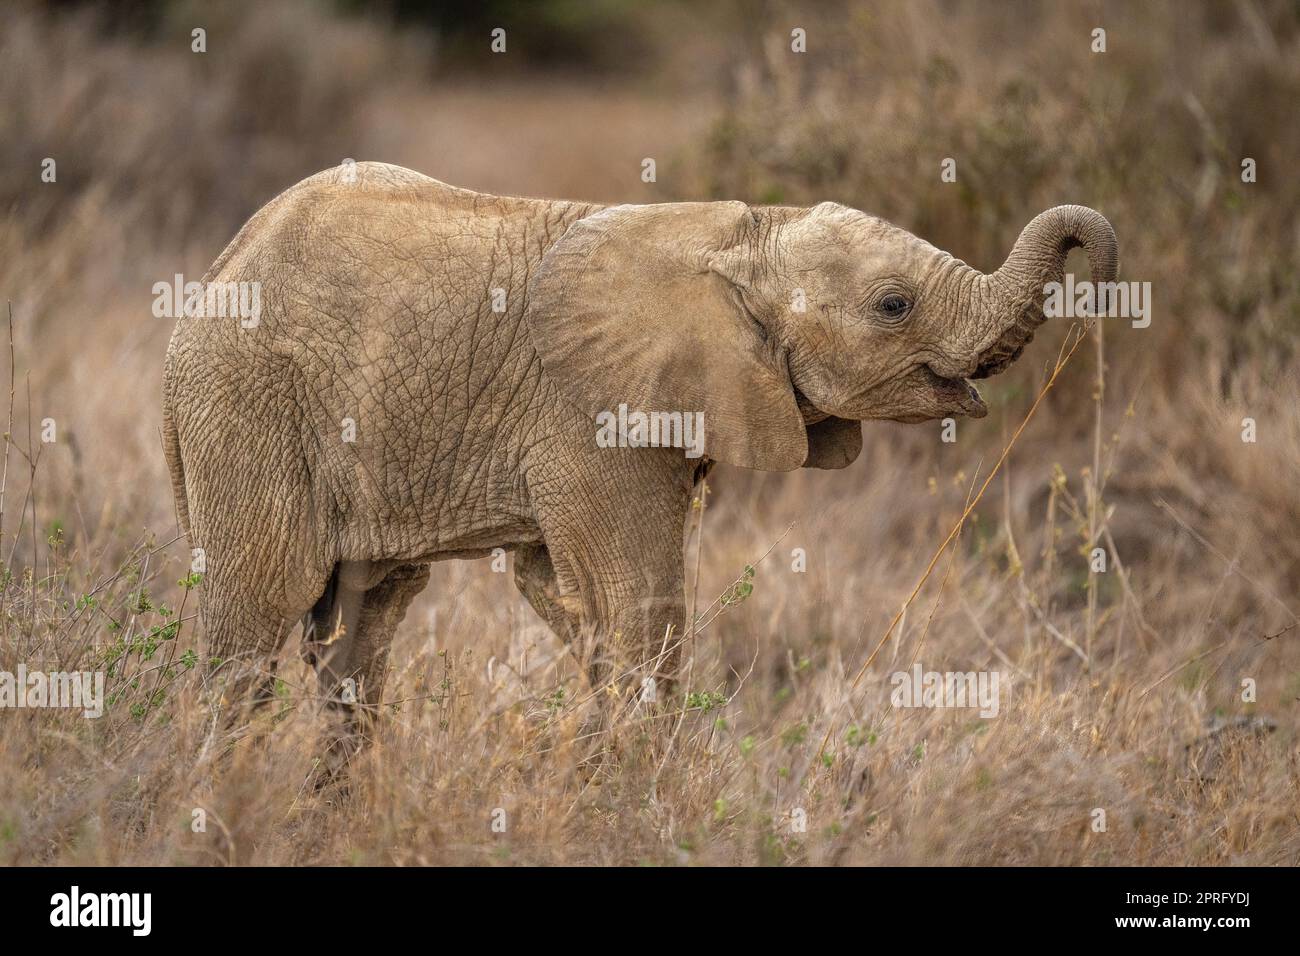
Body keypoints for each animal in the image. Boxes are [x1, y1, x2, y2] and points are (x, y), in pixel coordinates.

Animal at [162, 162, 1117, 757]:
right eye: (894, 305)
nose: (1099, 264)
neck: (738, 235)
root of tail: (210, 278)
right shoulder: (589, 417)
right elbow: (635, 599)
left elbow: (577, 602)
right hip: (245, 408)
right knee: (254, 624)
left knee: (358, 636)